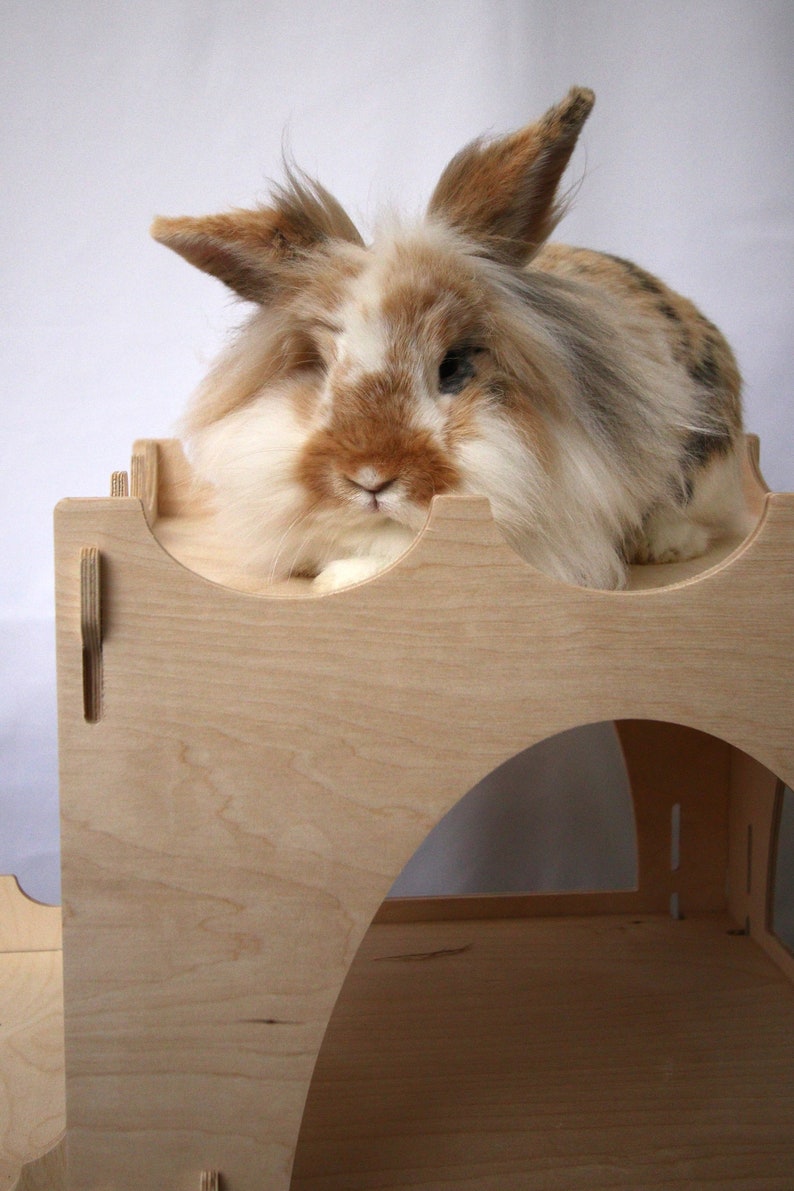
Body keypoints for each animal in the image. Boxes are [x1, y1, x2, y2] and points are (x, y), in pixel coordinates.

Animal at [151, 86, 753, 593]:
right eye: (319, 368)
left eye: (454, 368)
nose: (370, 479)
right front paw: (340, 576)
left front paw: (345, 576)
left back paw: (664, 546)